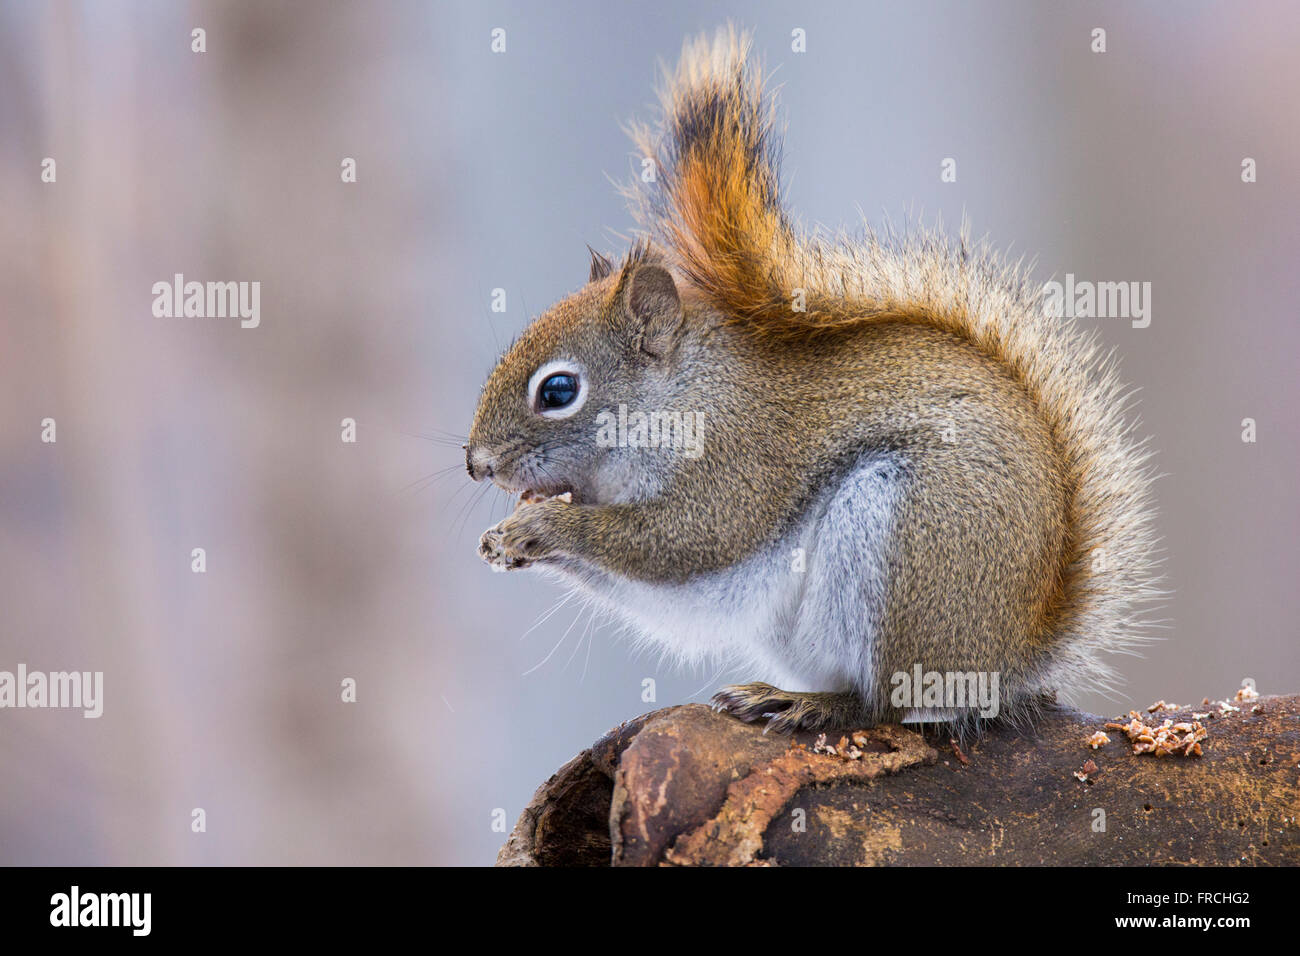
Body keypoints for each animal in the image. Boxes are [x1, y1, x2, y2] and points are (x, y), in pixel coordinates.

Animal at [467, 26, 1161, 734]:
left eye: (558, 391)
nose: (476, 465)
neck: (685, 395)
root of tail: (1009, 659)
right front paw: (505, 536)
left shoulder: (737, 463)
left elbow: (680, 540)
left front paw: (540, 528)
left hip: (906, 541)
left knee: (886, 705)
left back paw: (811, 703)